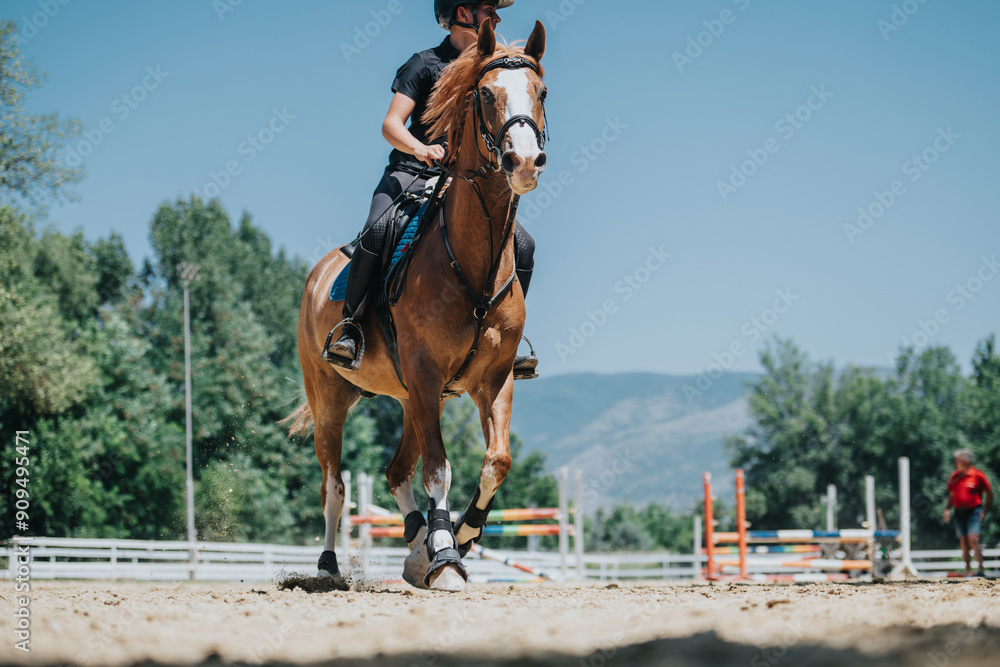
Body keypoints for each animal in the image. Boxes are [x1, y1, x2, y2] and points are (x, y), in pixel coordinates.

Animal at [284, 20, 548, 592]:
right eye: (485, 94)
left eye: (541, 93)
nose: (523, 162)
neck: (471, 259)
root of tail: (318, 273)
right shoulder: (427, 375)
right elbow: (439, 469)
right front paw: (446, 559)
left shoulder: (493, 379)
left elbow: (496, 461)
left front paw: (461, 537)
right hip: (332, 397)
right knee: (334, 485)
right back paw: (332, 565)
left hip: (409, 398)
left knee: (393, 471)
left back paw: (415, 544)